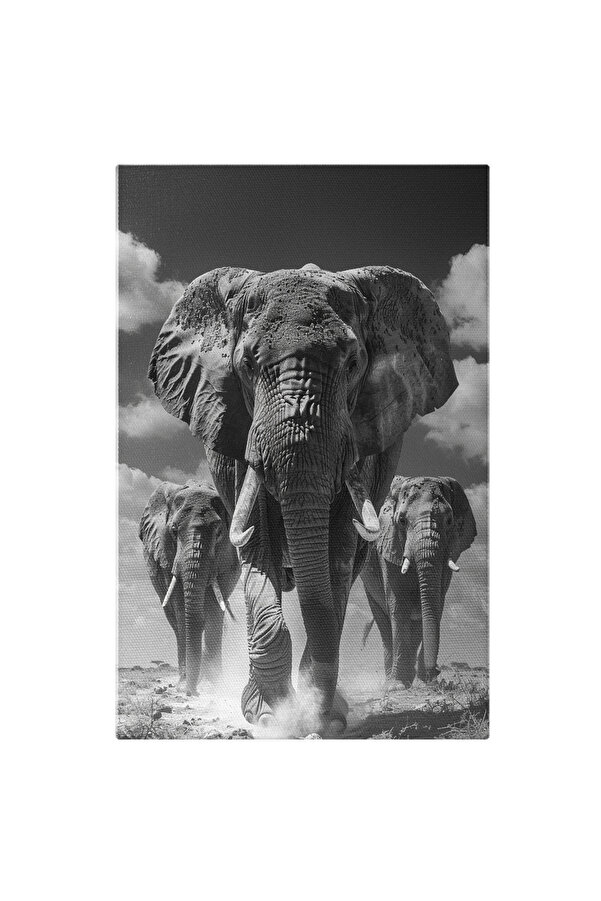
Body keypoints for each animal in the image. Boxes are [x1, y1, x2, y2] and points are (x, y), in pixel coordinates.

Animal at [139, 480, 240, 695]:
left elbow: (213, 608)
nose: (191, 692)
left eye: (219, 532)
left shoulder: (225, 557)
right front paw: (188, 683)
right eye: (174, 531)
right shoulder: (166, 554)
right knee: (175, 621)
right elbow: (181, 606)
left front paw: (214, 685)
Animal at [360, 476, 477, 687]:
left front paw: (426, 682)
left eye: (449, 520)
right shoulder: (388, 545)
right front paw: (396, 687)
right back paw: (392, 680)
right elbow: (398, 608)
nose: (437, 670)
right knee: (384, 622)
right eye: (402, 521)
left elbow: (434, 607)